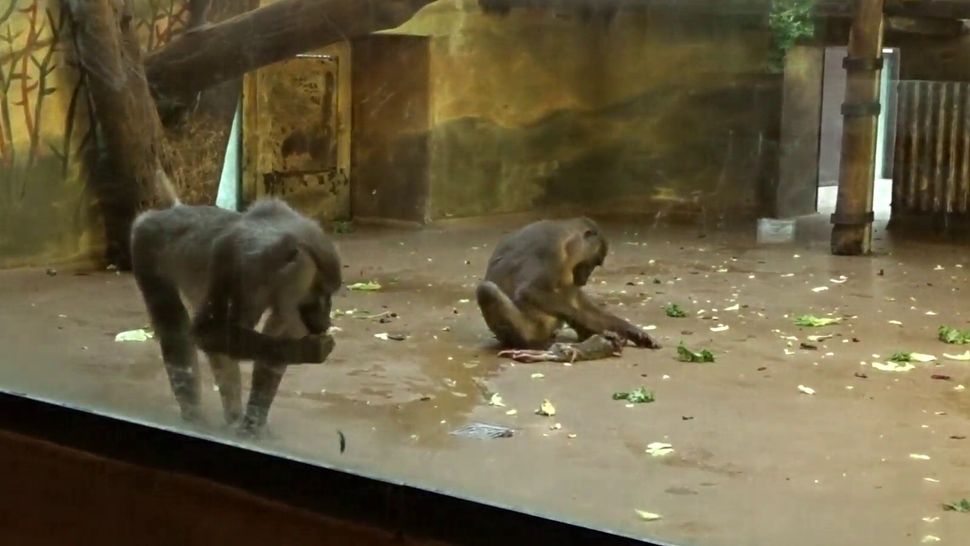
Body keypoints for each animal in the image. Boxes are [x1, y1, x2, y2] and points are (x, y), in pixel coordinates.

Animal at [130, 190, 341, 435]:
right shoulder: (242, 265)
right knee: (174, 327)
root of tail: (163, 214)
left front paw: (254, 423)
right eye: (320, 293)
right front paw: (307, 350)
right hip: (146, 242)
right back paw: (194, 415)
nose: (326, 316)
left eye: (330, 294)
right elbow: (209, 331)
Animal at [476, 217, 659, 353]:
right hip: (532, 327)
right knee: (486, 290)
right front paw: (596, 329)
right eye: (594, 262)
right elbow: (529, 291)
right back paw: (533, 344)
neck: (567, 238)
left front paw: (634, 332)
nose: (586, 277)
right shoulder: (552, 250)